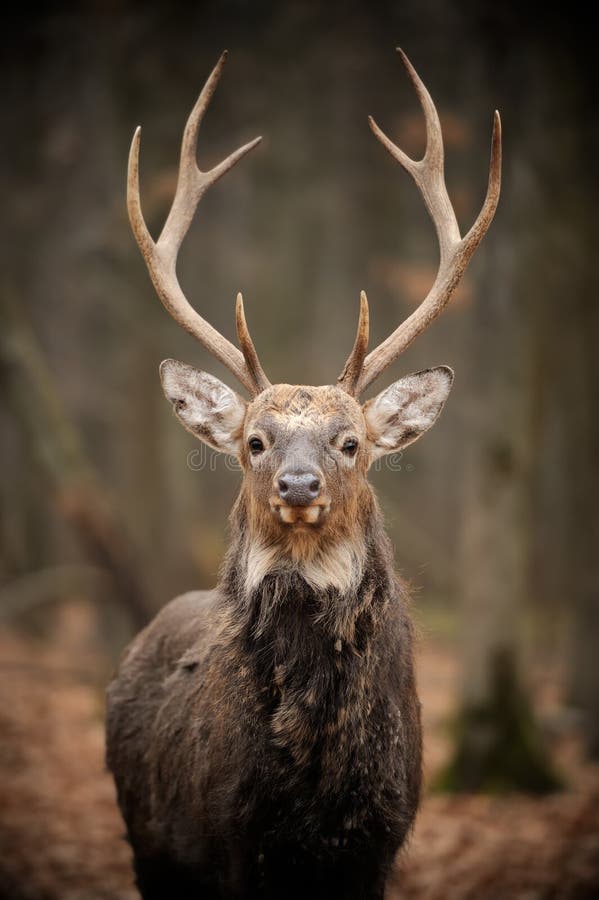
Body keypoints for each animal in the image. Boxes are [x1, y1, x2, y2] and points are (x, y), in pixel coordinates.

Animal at [106, 49, 501, 900]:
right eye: (255, 441)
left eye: (349, 443)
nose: (296, 486)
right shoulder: (227, 837)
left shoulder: (381, 838)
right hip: (146, 839)